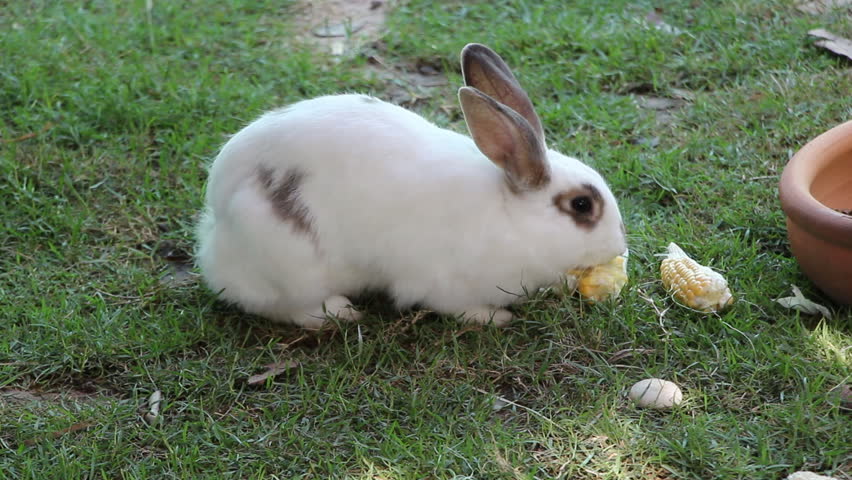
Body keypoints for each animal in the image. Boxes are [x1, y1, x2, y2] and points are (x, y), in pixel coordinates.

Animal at [196, 43, 627, 330]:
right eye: (582, 205)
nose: (620, 246)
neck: (511, 217)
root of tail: (217, 226)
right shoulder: (445, 284)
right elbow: (460, 306)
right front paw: (496, 317)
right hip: (291, 265)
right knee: (282, 307)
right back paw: (340, 312)